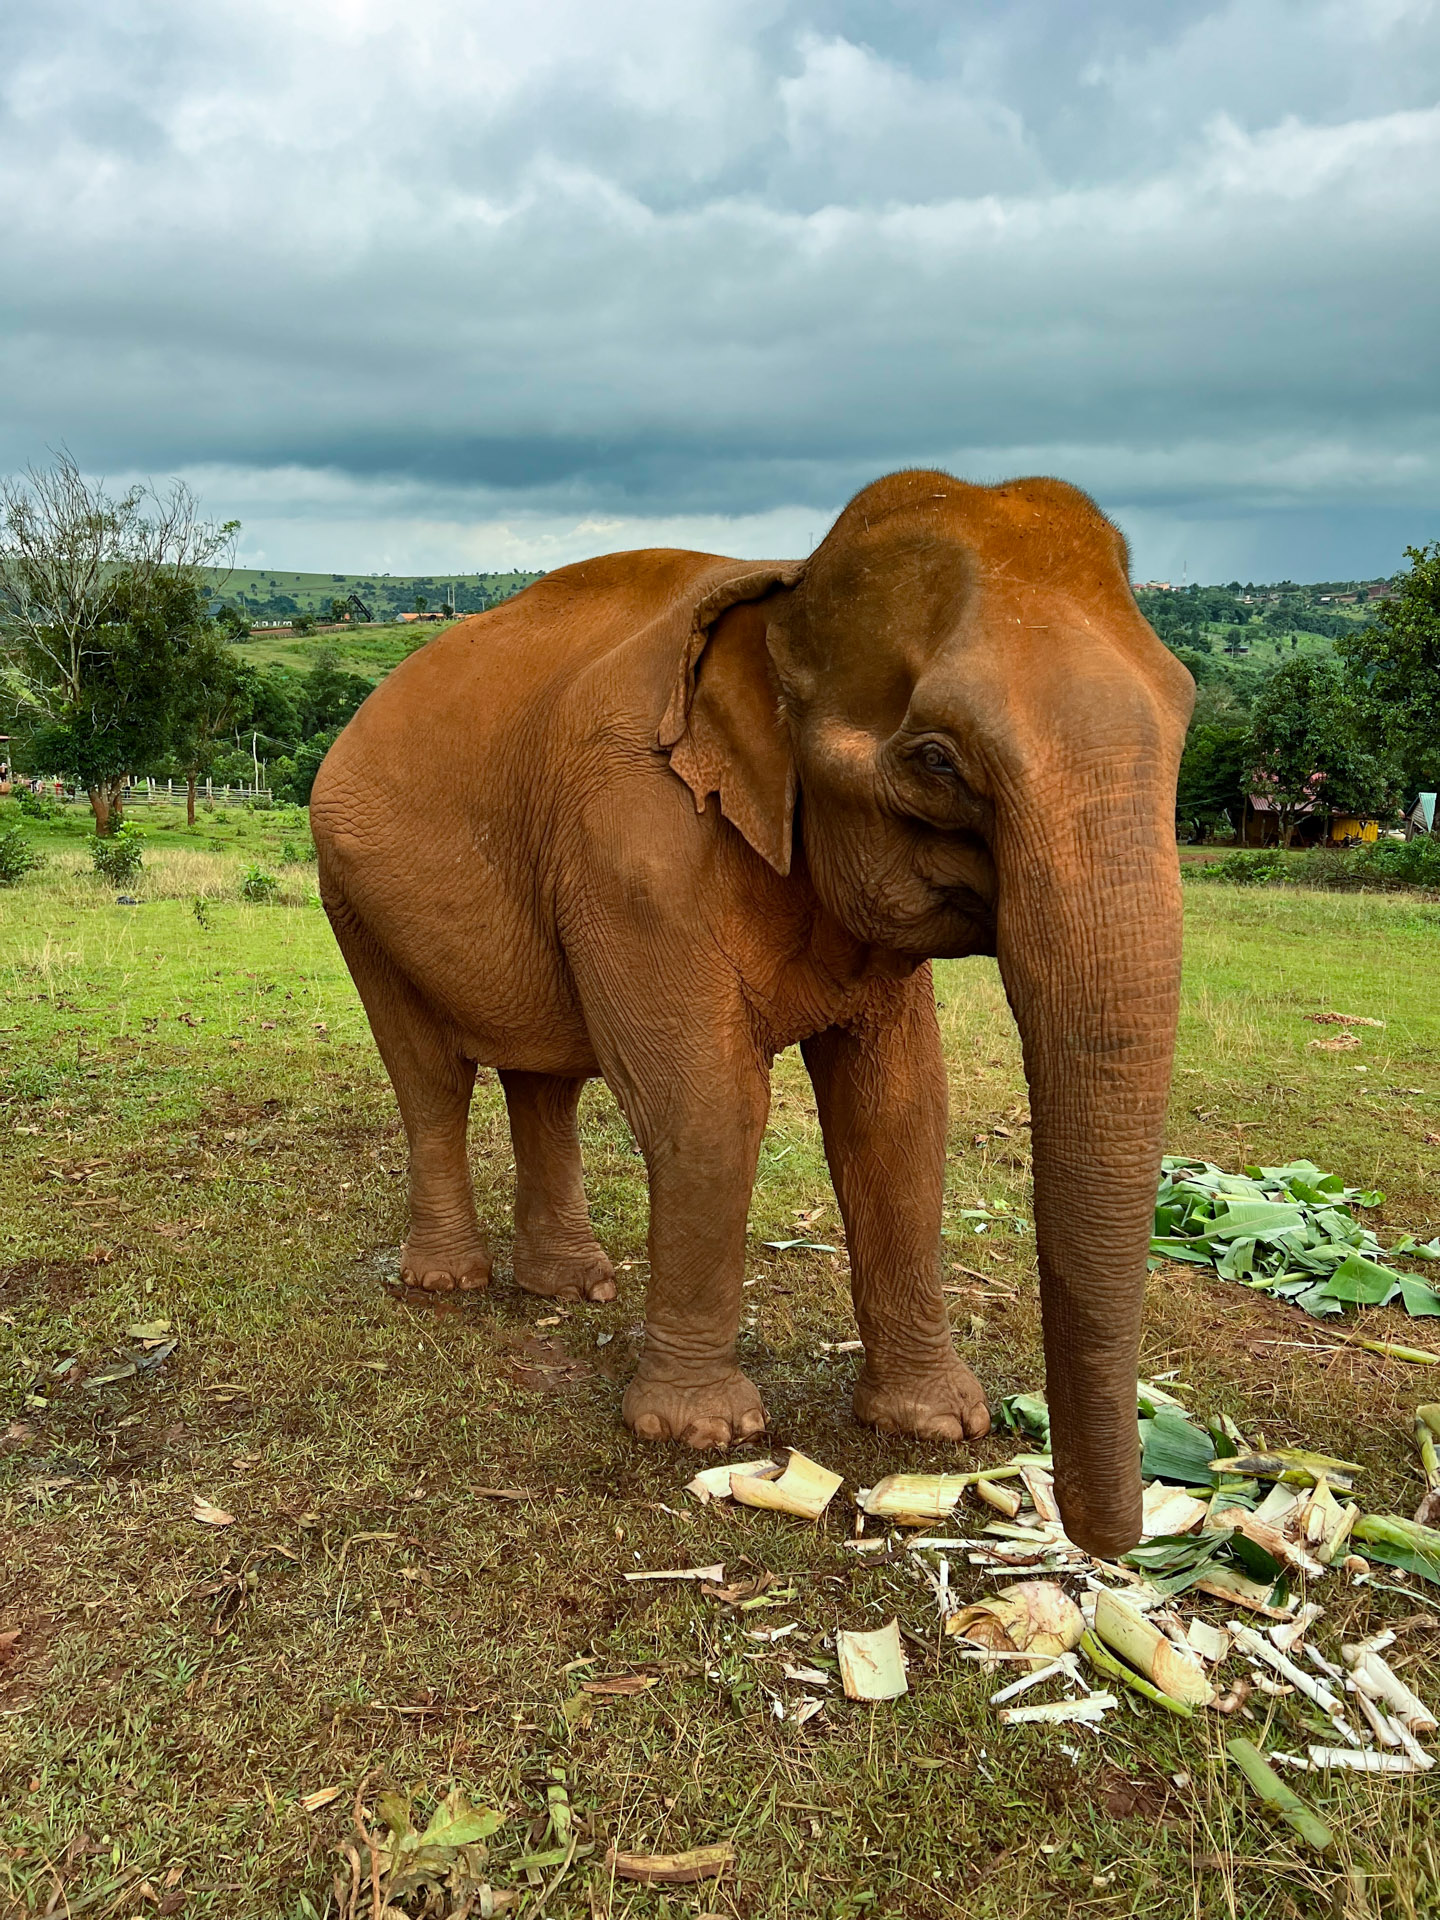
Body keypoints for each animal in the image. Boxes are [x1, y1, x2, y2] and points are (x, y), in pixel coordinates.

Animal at [310, 468, 1193, 1556]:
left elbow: (900, 1112)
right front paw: (702, 1436)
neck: (784, 593)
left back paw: (572, 1288)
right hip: (349, 891)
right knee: (430, 1075)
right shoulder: (632, 843)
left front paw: (936, 1426)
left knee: (545, 1078)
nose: (1109, 1540)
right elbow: (706, 1103)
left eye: (1189, 718)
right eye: (938, 760)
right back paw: (450, 1286)